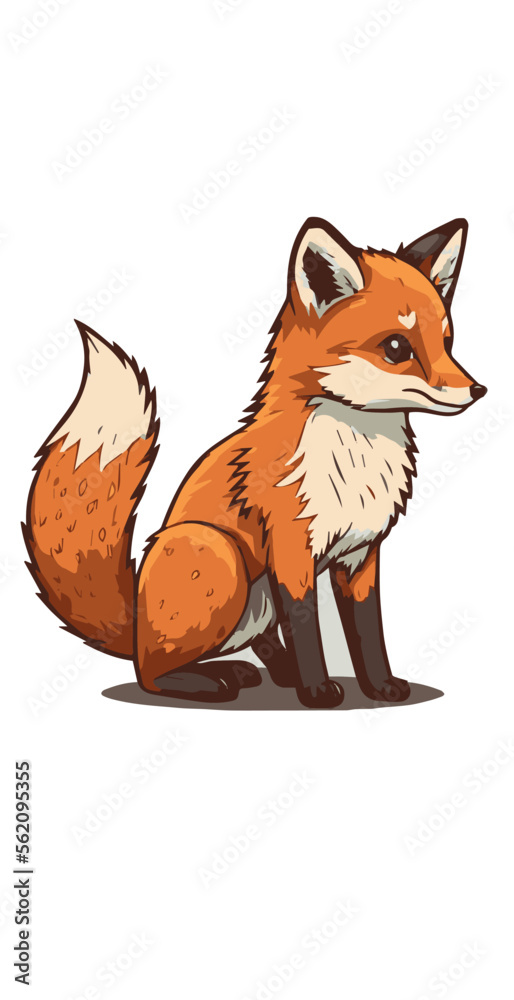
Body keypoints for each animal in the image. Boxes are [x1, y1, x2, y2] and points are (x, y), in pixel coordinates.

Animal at [24, 217, 486, 709]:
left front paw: (379, 686)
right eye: (397, 347)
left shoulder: (361, 556)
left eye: (447, 342)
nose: (478, 390)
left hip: (254, 600)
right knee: (149, 672)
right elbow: (306, 629)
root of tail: (134, 625)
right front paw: (317, 690)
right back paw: (208, 681)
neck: (354, 456)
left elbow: (368, 633)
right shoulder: (292, 550)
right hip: (218, 555)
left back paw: (262, 673)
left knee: (252, 643)